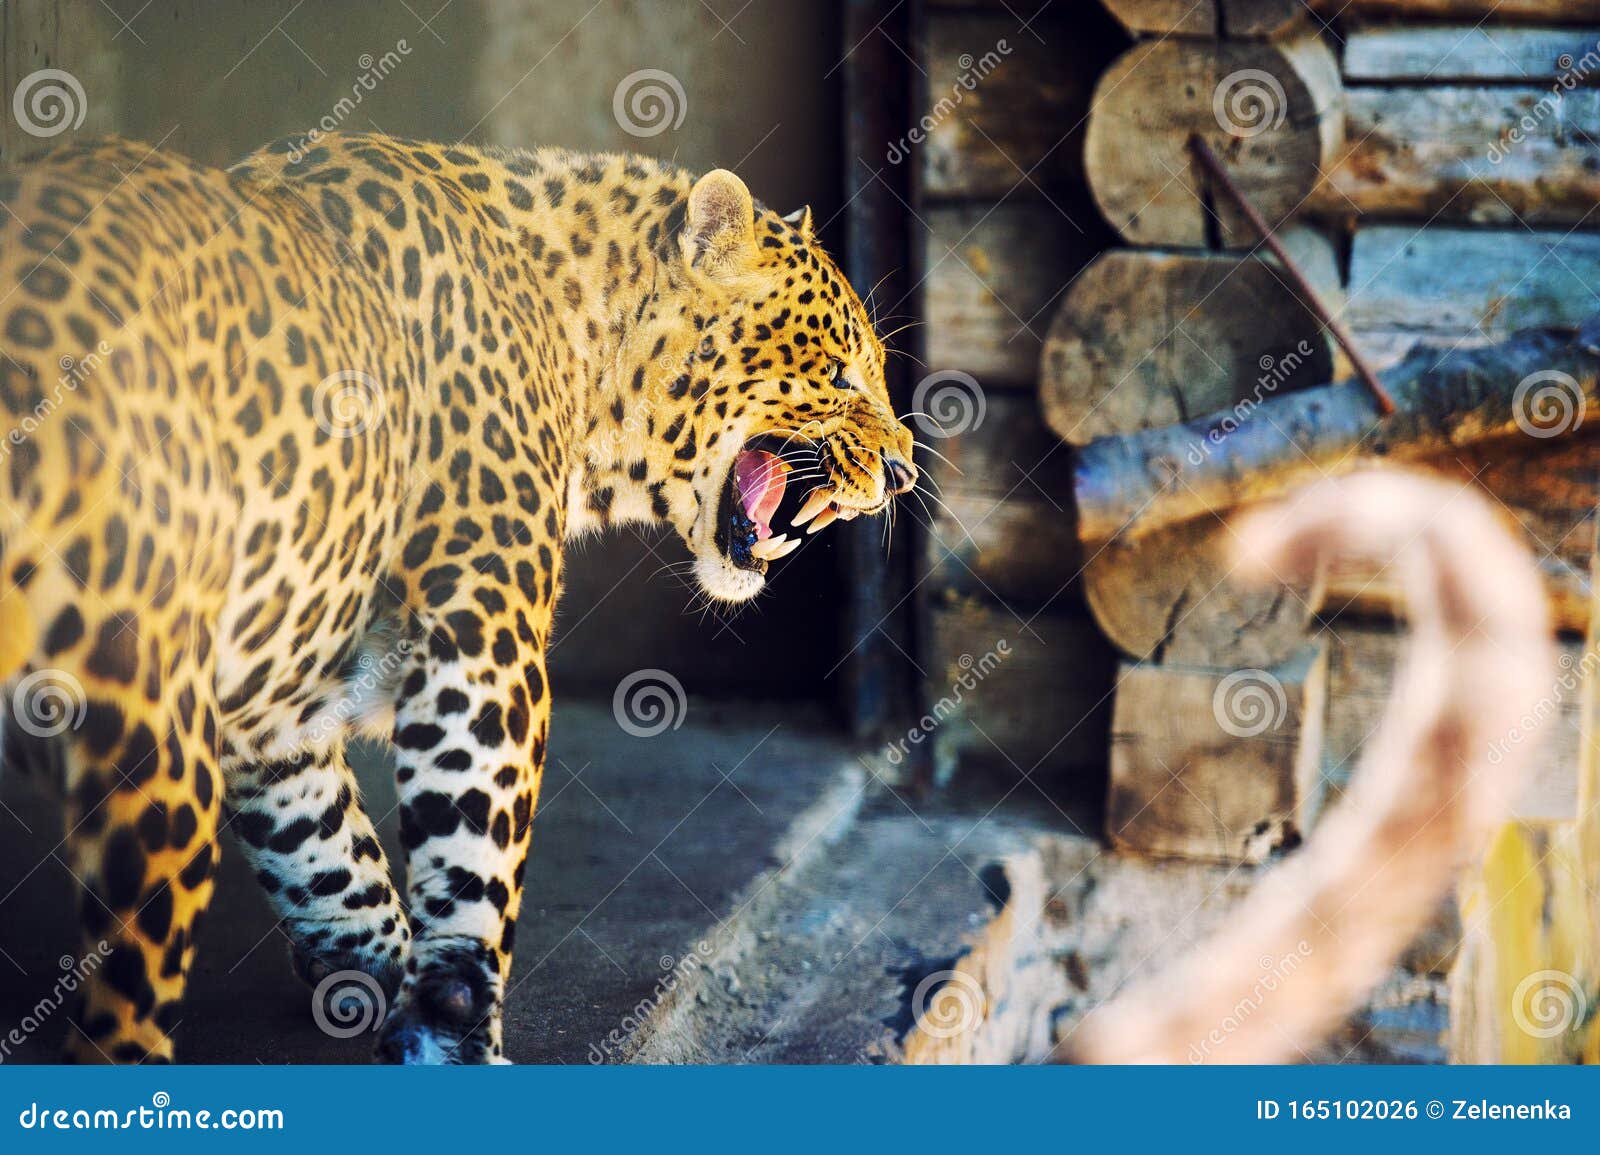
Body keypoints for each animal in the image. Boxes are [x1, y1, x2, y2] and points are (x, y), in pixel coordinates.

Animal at [0, 131, 917, 1063]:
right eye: (840, 372)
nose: (904, 471)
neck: (579, 338)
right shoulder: (481, 641)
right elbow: (471, 856)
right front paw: (456, 1027)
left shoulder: (278, 684)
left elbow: (326, 846)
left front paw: (386, 978)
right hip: (147, 733)